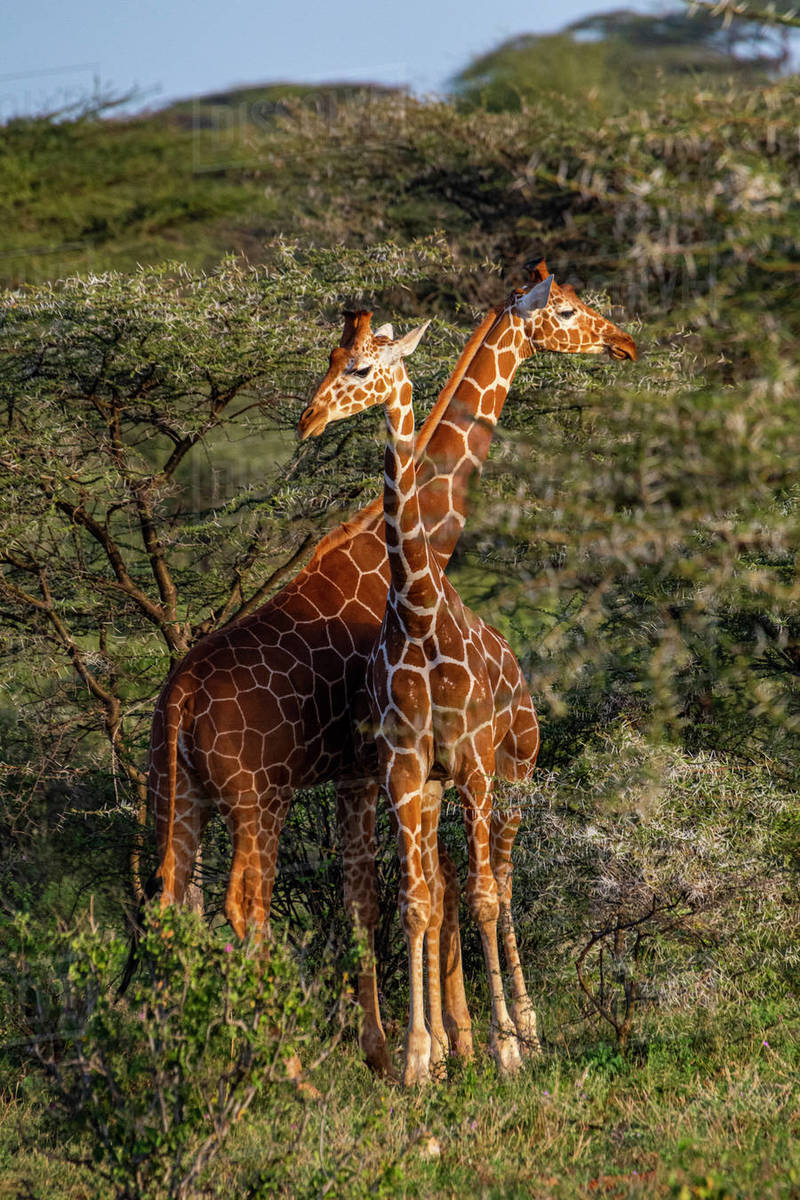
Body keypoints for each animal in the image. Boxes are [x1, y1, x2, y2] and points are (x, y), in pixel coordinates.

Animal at [148, 263, 637, 1077]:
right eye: (568, 311)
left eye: (349, 363)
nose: (622, 342)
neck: (424, 542)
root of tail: (179, 698)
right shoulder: (375, 766)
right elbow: (404, 895)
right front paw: (439, 1046)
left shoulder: (371, 770)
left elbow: (390, 895)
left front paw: (427, 1045)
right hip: (256, 796)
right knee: (245, 906)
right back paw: (278, 1061)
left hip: (177, 793)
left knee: (170, 899)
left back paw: (184, 1053)